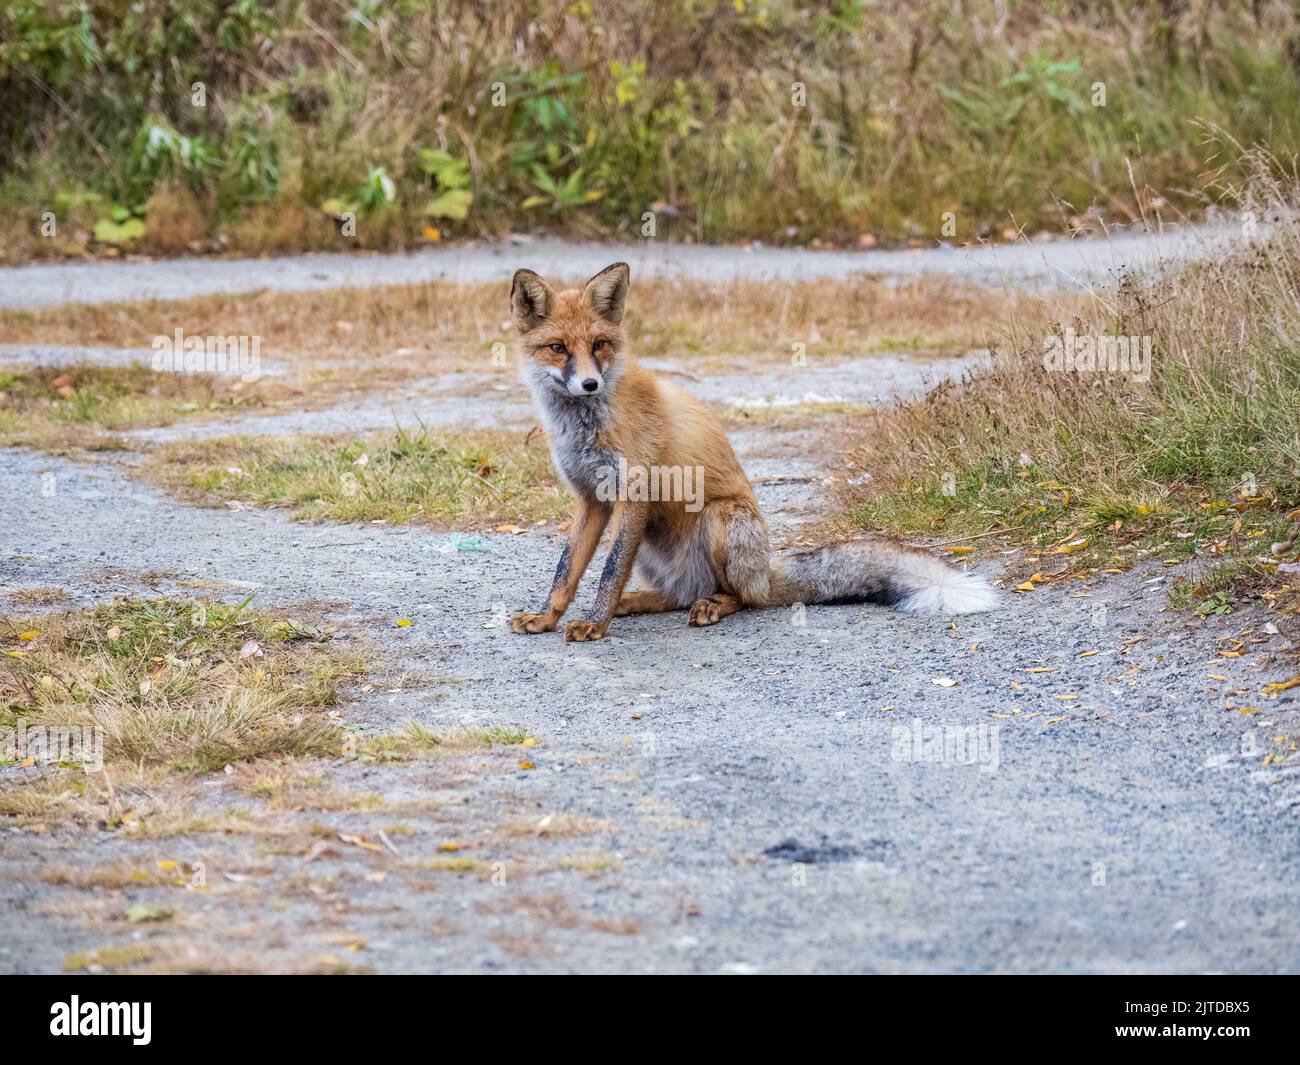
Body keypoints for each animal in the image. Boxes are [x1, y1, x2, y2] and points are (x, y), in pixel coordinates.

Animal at [507, 261, 997, 642]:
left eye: (599, 345)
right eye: (558, 348)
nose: (590, 383)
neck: (583, 427)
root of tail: (765, 573)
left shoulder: (632, 493)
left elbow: (608, 573)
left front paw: (595, 624)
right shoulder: (592, 499)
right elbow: (566, 570)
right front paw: (548, 617)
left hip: (720, 520)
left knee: (743, 598)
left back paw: (714, 605)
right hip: (650, 545)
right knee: (677, 596)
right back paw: (647, 600)